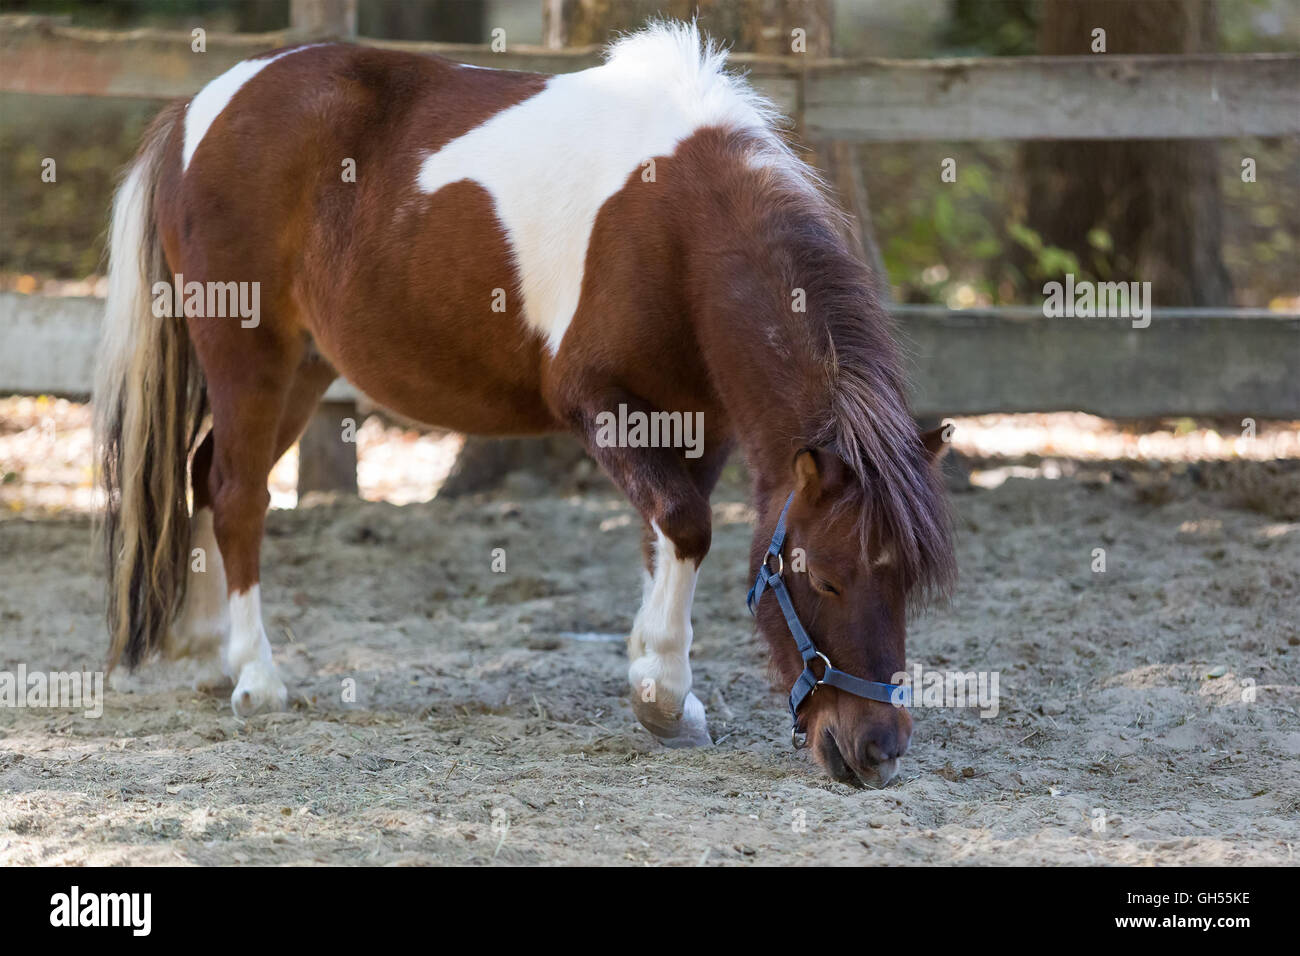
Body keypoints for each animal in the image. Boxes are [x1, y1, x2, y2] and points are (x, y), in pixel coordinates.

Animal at [93, 21, 955, 786]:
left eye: (910, 584)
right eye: (828, 579)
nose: (876, 750)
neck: (679, 223)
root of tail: (198, 110)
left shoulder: (701, 420)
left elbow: (666, 539)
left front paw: (661, 688)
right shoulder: (596, 401)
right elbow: (685, 526)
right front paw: (662, 698)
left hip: (304, 368)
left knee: (206, 476)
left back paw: (211, 655)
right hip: (249, 353)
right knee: (238, 495)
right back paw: (257, 678)